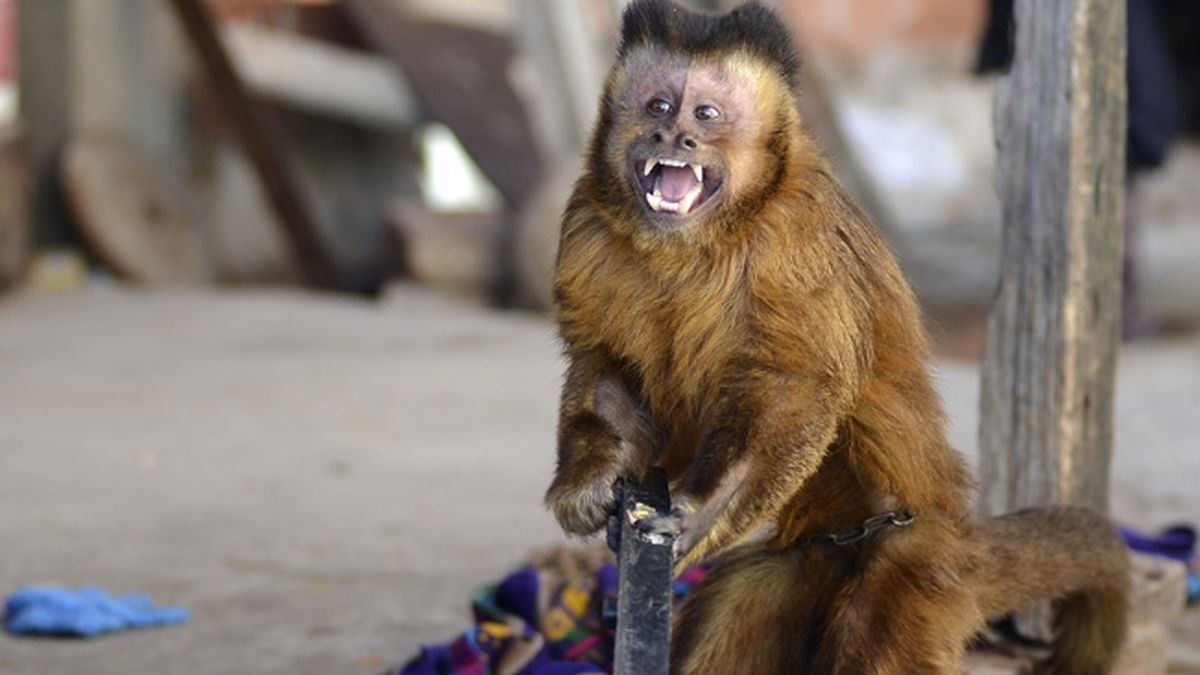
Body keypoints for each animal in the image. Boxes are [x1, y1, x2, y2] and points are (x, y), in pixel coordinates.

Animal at [543, 1, 1131, 673]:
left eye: (706, 115)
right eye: (660, 106)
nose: (674, 138)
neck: (697, 243)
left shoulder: (796, 237)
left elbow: (793, 388)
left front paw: (700, 513)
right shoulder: (585, 221)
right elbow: (602, 366)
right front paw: (591, 482)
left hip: (919, 566)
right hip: (808, 562)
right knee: (744, 602)